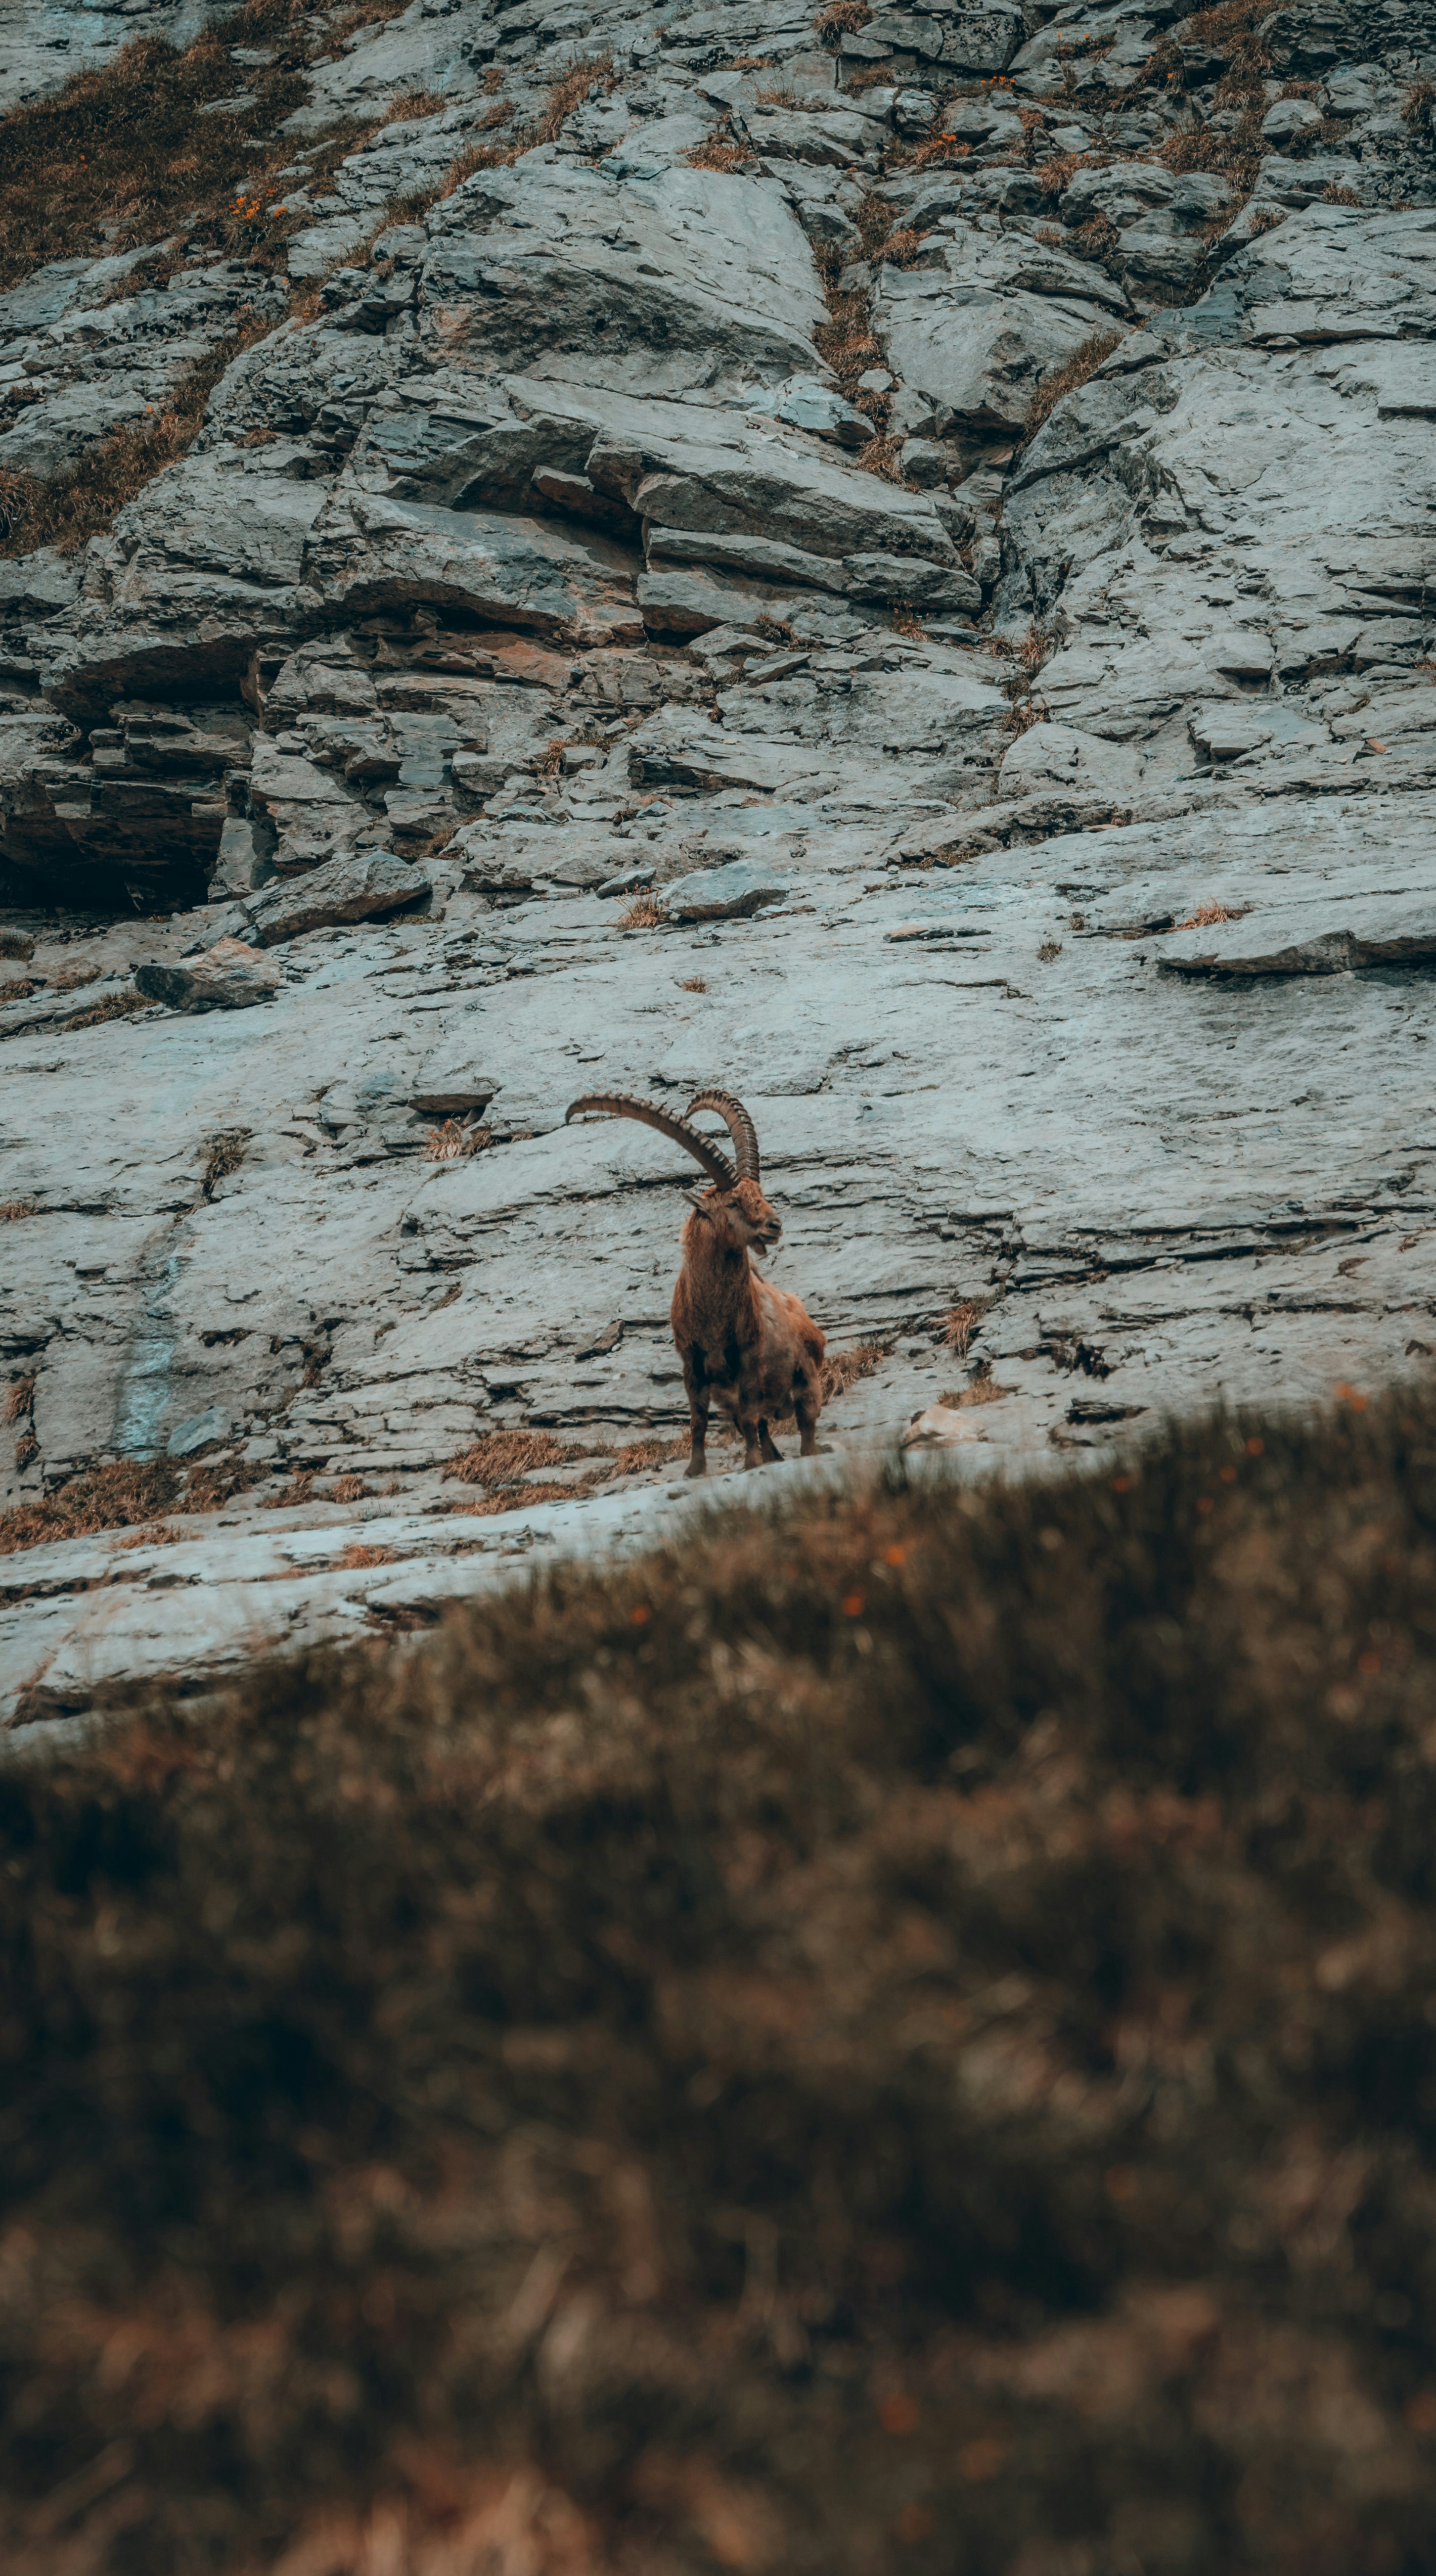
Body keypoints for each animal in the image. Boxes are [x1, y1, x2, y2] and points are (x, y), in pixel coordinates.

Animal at [565, 1087, 826, 1477]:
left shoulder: (748, 1359)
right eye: (733, 1203)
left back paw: (802, 1452)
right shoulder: (693, 1365)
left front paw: (750, 1464)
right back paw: (773, 1457)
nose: (774, 1226)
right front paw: (695, 1470)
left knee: (805, 1419)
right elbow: (699, 1421)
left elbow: (750, 1417)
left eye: (761, 1194)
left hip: (806, 1373)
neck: (714, 1317)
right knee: (763, 1426)